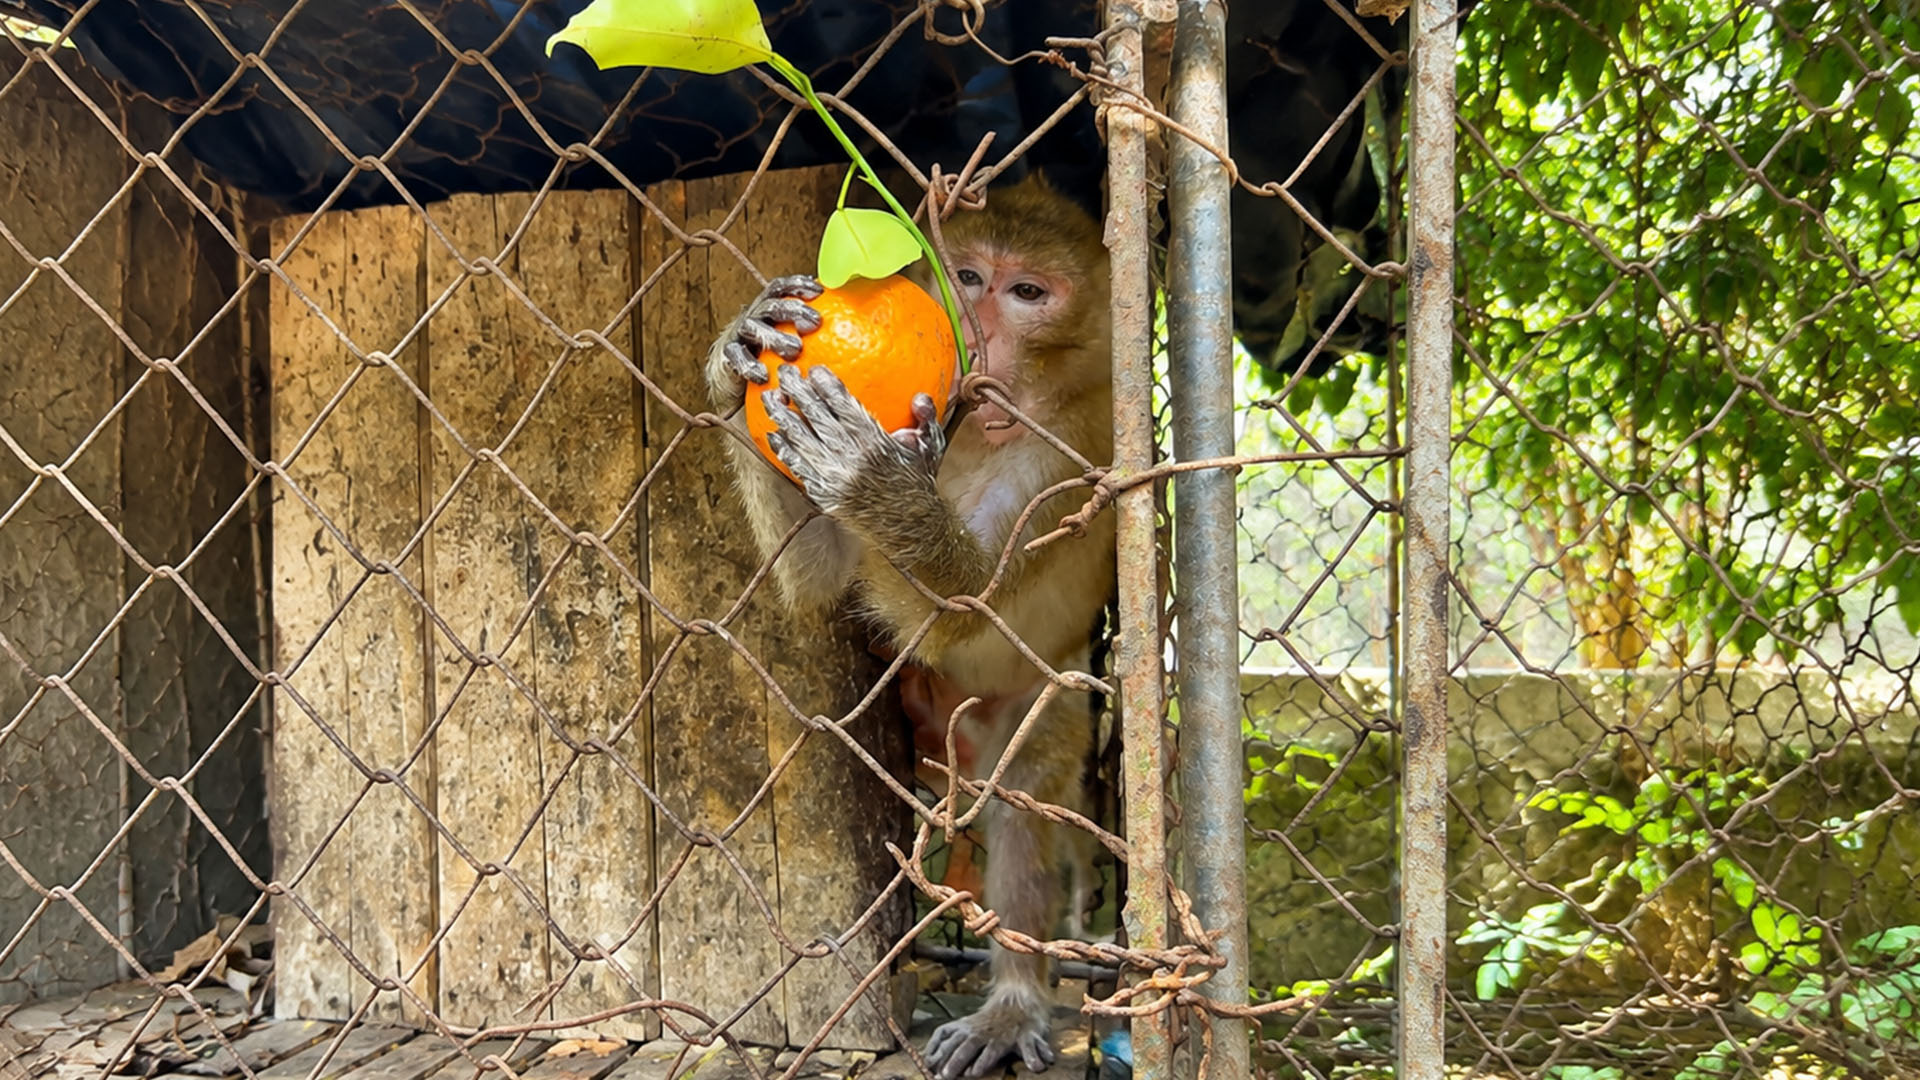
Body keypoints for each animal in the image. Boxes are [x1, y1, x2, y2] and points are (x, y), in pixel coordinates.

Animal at [703, 175, 1115, 1080]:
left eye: (1028, 294)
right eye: (967, 277)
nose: (979, 335)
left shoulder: (1072, 454)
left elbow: (956, 610)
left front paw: (870, 478)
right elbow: (818, 578)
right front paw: (739, 345)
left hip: (1039, 703)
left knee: (1021, 798)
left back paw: (1011, 1003)